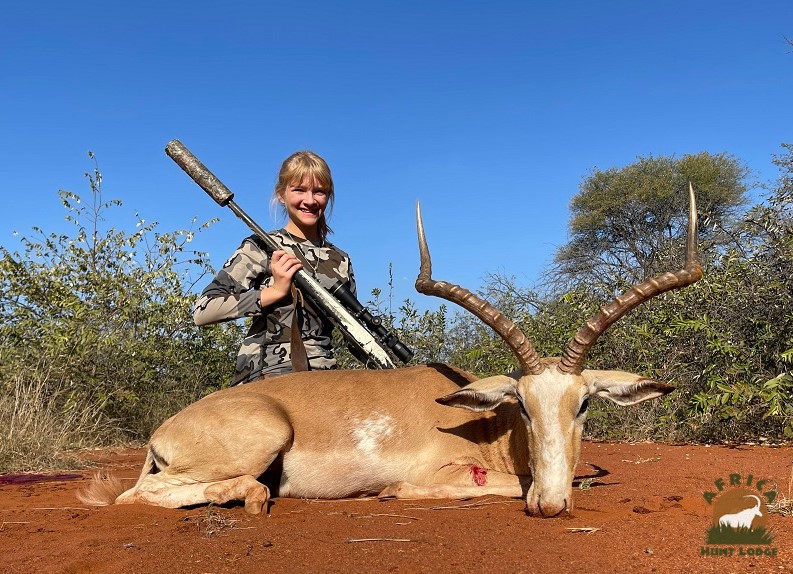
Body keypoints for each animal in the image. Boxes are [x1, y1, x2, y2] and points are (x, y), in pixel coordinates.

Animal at [79, 186, 702, 517]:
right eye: (522, 403)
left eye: (584, 403)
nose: (549, 505)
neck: (489, 431)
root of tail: (165, 431)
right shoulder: (439, 475)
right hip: (260, 439)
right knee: (137, 494)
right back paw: (254, 498)